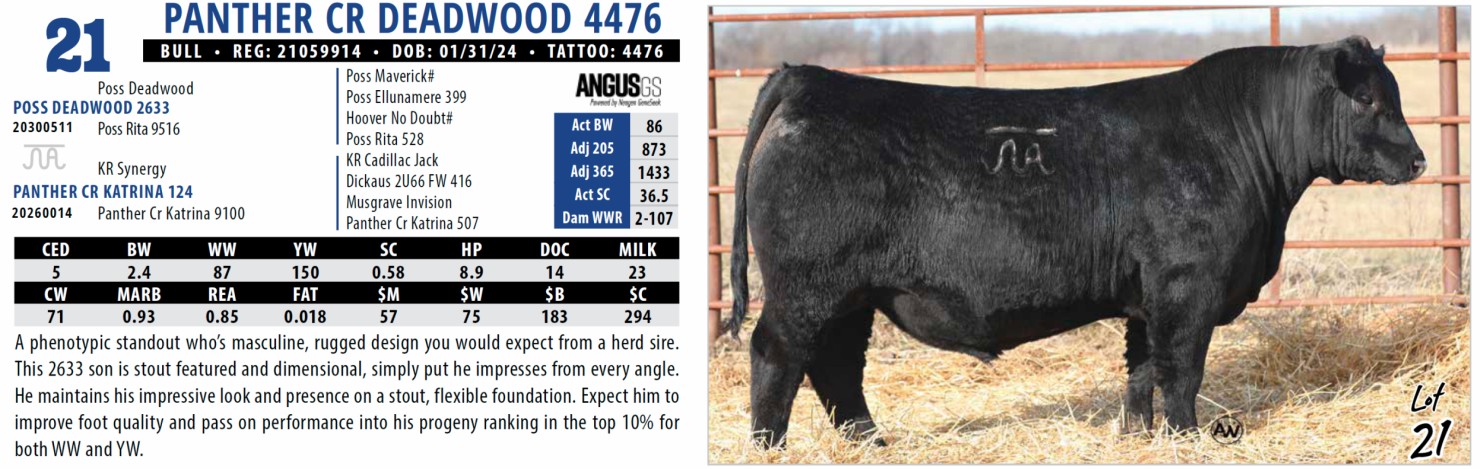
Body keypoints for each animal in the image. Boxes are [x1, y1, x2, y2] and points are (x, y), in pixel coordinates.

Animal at [726, 36, 1425, 448]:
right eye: (1368, 100)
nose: (1419, 160)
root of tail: (810, 78)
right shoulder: (1188, 285)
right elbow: (1182, 370)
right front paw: (1188, 438)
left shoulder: (1148, 296)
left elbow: (1142, 370)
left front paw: (1140, 438)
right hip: (807, 285)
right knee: (777, 355)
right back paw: (770, 447)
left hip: (851, 294)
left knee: (837, 366)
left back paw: (872, 444)